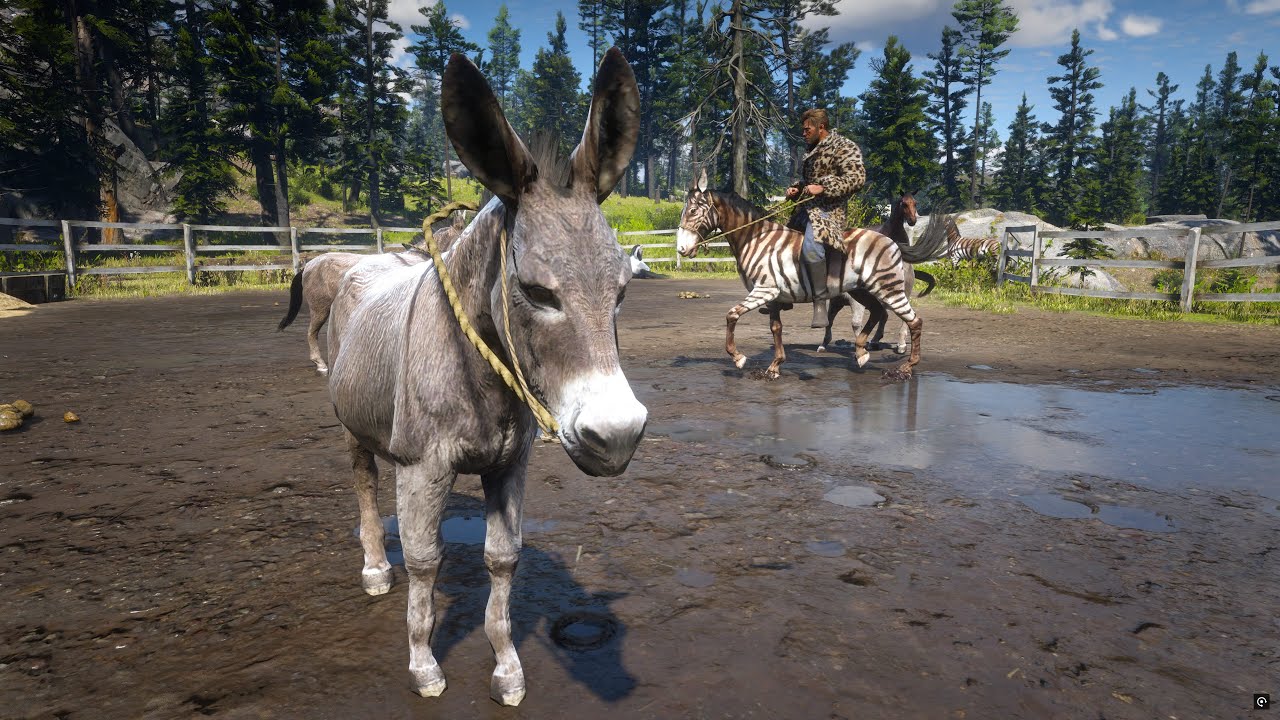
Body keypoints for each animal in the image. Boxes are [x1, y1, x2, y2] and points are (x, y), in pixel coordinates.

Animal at [674, 169, 950, 380]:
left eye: (693, 211)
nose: (682, 249)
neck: (757, 239)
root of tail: (892, 242)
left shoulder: (763, 291)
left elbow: (732, 316)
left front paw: (739, 358)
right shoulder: (774, 297)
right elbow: (776, 328)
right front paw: (775, 366)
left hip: (890, 290)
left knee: (913, 321)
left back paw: (906, 367)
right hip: (862, 291)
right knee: (878, 313)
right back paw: (861, 352)